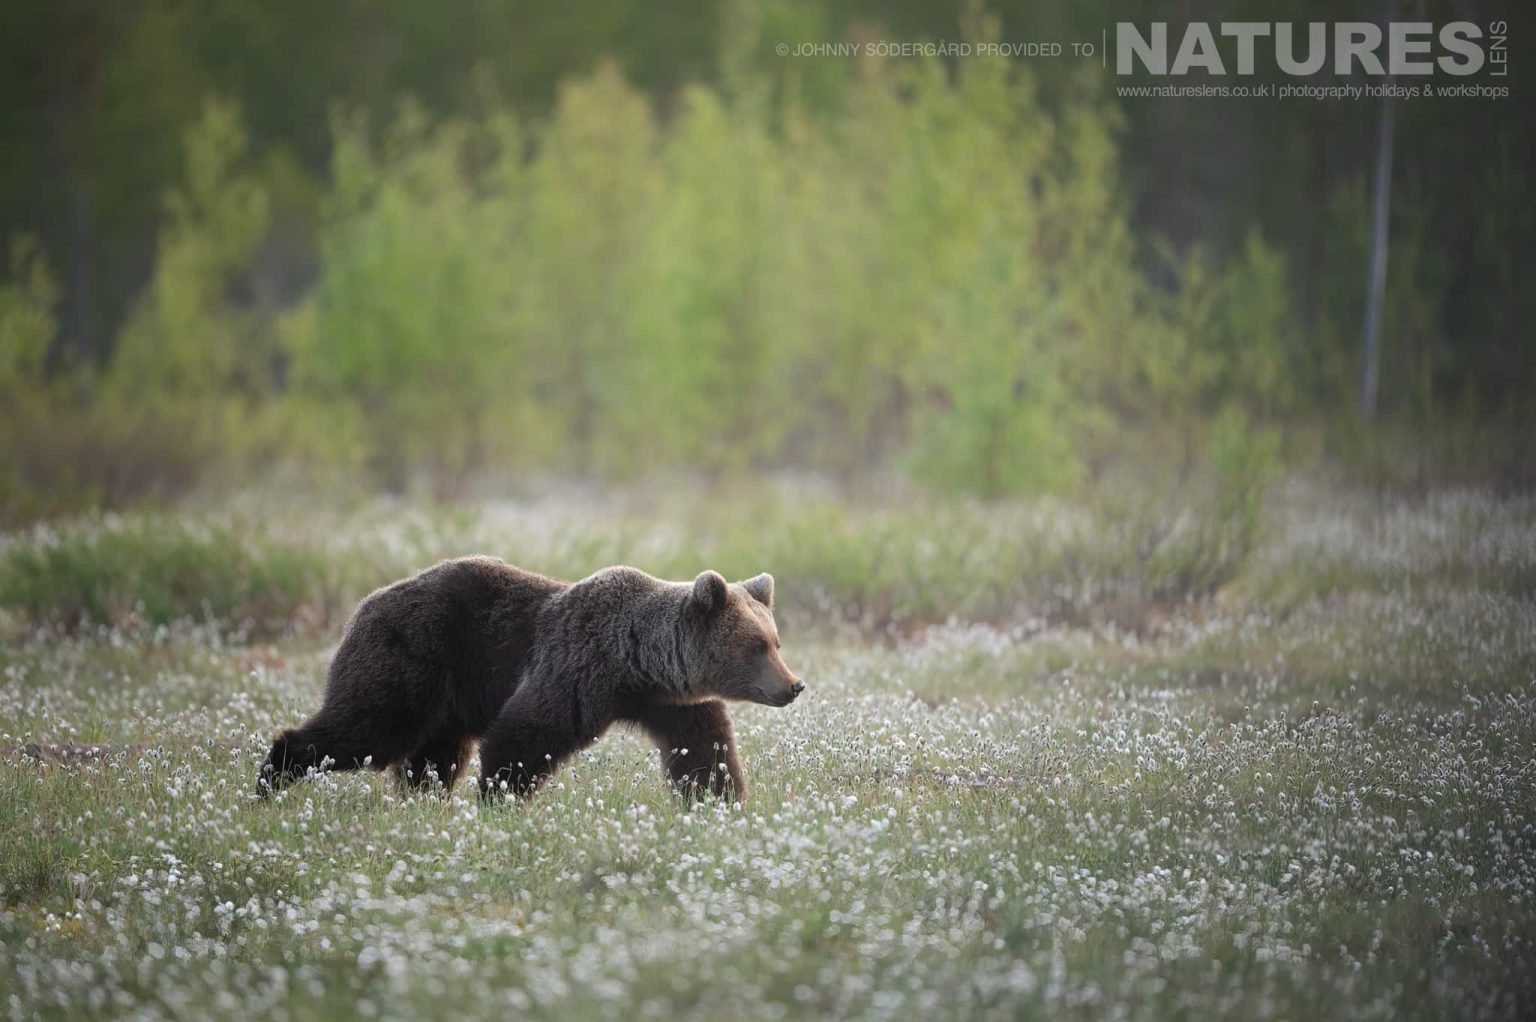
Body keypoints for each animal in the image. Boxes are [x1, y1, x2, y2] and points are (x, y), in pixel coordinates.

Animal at [257, 558, 802, 802]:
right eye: (757, 645)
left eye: (776, 641)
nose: (794, 685)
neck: (638, 665)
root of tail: (364, 604)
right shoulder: (576, 666)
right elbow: (525, 733)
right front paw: (500, 797)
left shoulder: (673, 703)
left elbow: (704, 749)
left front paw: (719, 798)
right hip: (415, 654)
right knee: (368, 727)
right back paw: (274, 775)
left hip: (449, 696)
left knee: (434, 754)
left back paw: (422, 799)